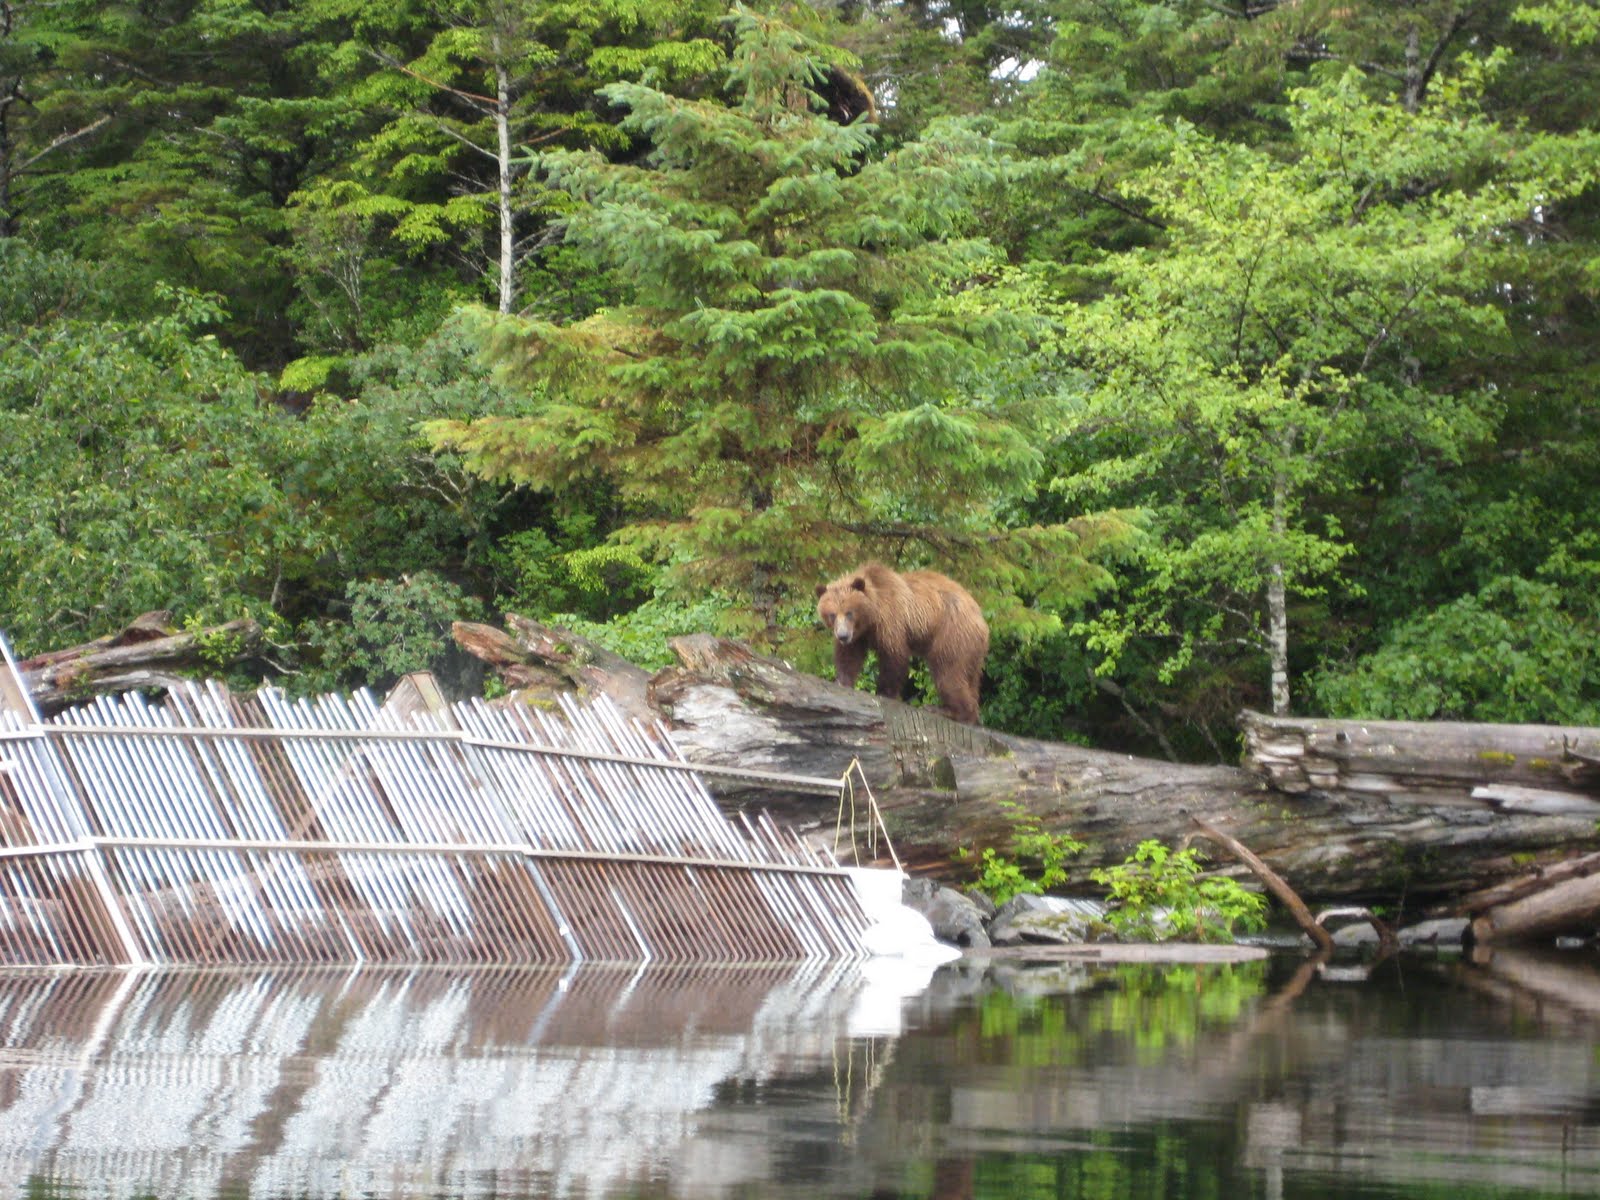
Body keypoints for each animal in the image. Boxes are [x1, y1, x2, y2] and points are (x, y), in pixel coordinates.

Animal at [815, 562, 989, 725]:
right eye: (832, 615)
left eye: (849, 613)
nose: (843, 636)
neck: (871, 617)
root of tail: (982, 622)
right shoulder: (859, 636)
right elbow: (849, 656)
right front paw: (841, 681)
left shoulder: (891, 620)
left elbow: (893, 656)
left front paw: (885, 692)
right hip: (971, 650)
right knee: (970, 678)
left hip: (951, 633)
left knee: (947, 671)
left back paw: (948, 711)